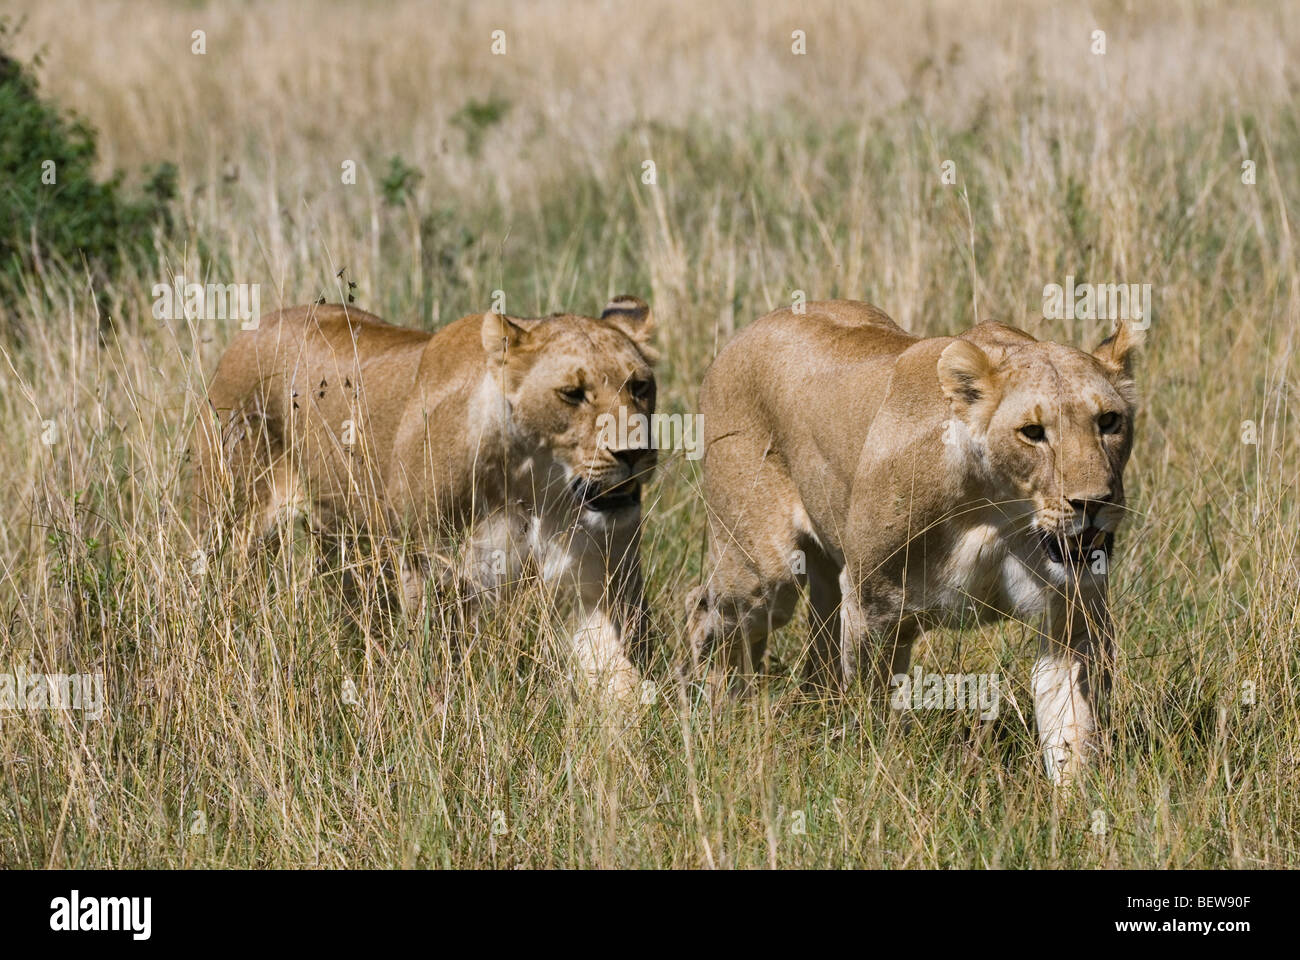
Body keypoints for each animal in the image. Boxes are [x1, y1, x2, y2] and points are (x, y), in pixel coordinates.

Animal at [191, 297, 659, 701]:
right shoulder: (429, 570)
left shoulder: (593, 585)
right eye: (572, 393)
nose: (634, 453)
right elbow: (437, 664)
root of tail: (254, 328)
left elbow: (620, 684)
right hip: (231, 520)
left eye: (640, 386)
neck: (536, 487)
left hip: (343, 542)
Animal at [687, 299, 1140, 783]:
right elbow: (874, 709)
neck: (999, 511)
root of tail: (747, 331)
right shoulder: (873, 607)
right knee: (705, 610)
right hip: (763, 573)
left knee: (817, 653)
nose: (1092, 503)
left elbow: (1072, 728)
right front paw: (874, 775)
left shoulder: (1071, 616)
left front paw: (1076, 798)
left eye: (1108, 421)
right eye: (1032, 432)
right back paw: (716, 714)